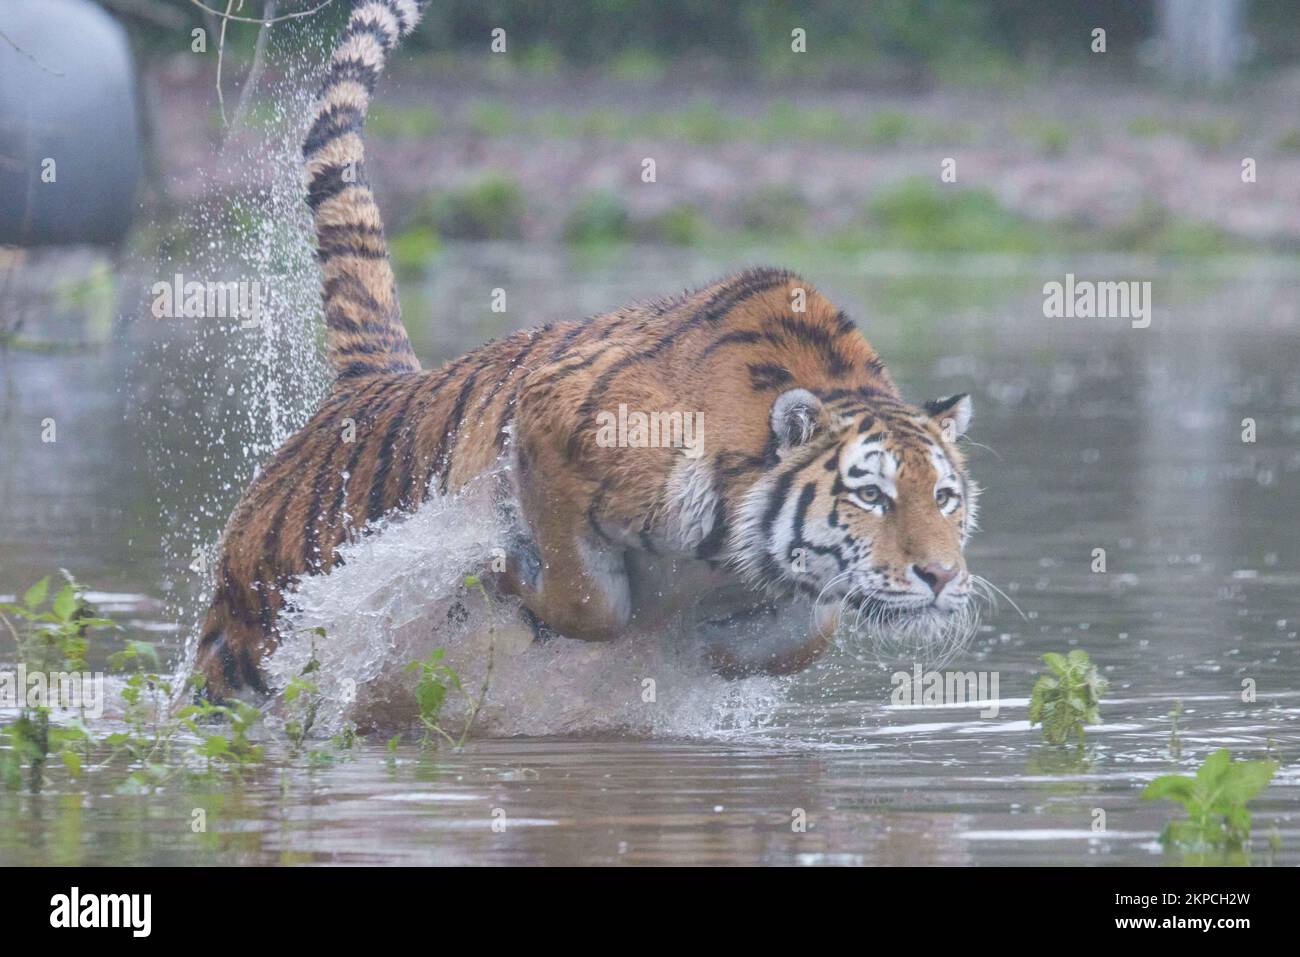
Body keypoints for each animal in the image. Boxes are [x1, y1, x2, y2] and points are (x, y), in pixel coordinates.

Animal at [193, 0, 981, 702]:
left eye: (944, 497)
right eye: (871, 495)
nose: (942, 576)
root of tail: (361, 386)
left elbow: (805, 637)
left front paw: (700, 648)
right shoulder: (553, 426)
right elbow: (591, 603)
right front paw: (516, 579)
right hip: (247, 640)